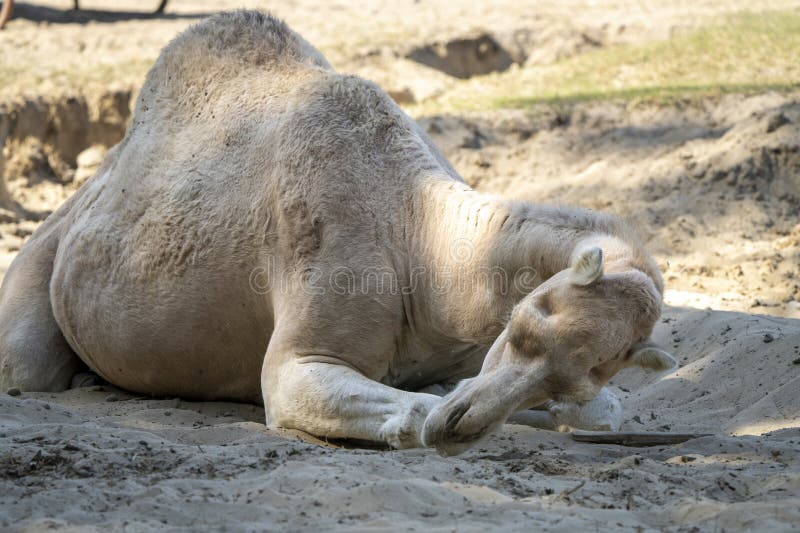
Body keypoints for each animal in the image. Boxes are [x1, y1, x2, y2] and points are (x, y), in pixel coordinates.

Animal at [0, 11, 675, 455]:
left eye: (582, 374)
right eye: (523, 328)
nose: (462, 427)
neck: (419, 236)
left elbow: (605, 413)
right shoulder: (301, 351)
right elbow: (390, 404)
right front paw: (438, 412)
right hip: (44, 262)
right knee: (24, 368)